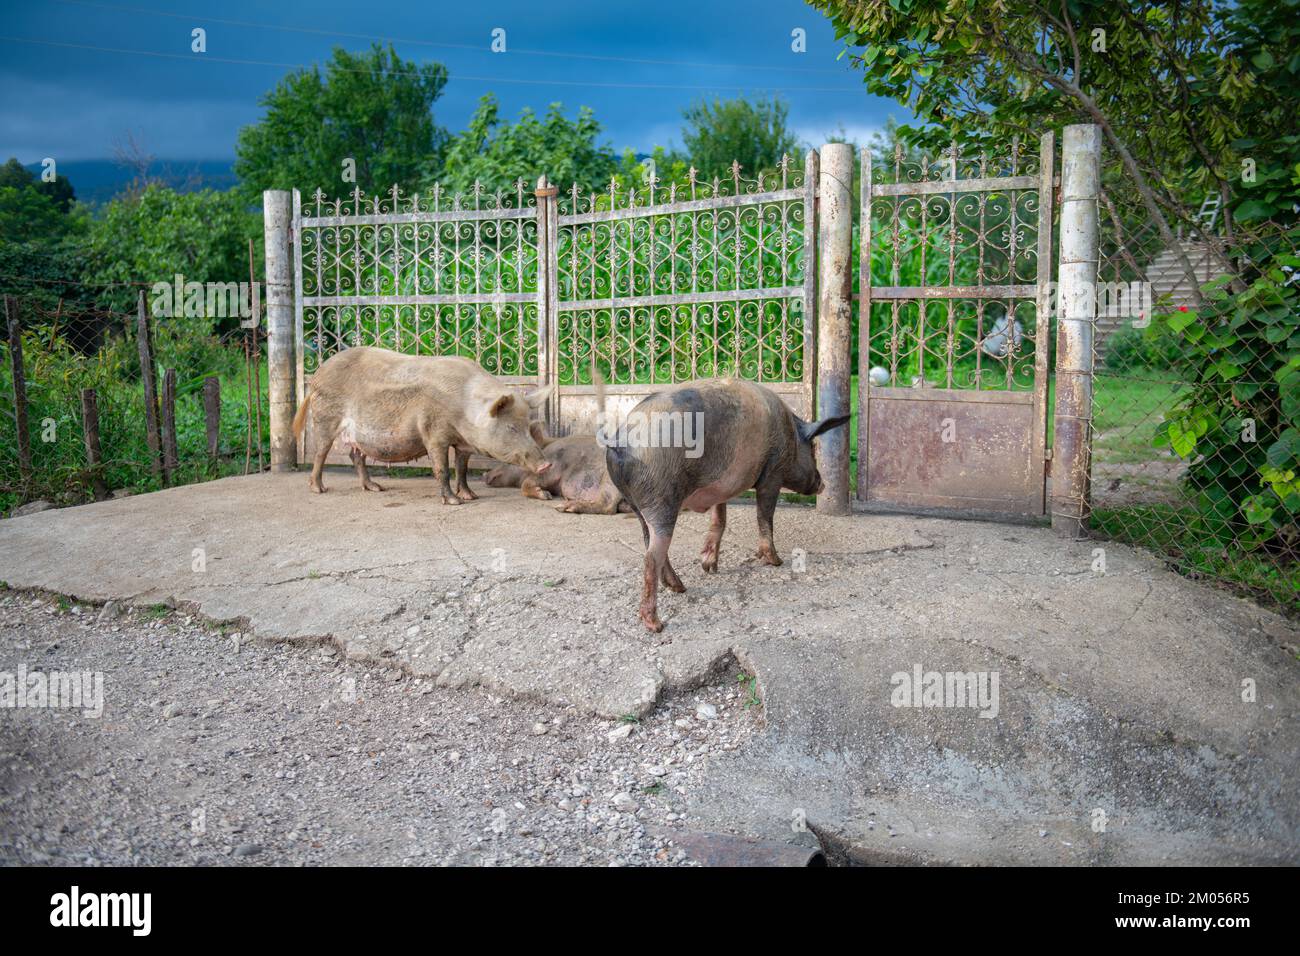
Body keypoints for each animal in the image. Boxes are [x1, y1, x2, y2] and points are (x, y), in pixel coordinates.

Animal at [291, 346, 552, 504]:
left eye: (528, 426)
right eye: (511, 428)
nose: (545, 464)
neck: (465, 409)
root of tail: (317, 375)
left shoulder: (463, 444)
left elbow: (462, 468)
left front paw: (472, 496)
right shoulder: (433, 433)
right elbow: (442, 468)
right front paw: (455, 502)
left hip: (358, 434)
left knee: (356, 456)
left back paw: (375, 488)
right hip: (325, 418)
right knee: (321, 452)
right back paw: (319, 489)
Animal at [484, 425, 632, 514]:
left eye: (510, 460)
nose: (485, 474)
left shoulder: (553, 467)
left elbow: (525, 483)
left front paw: (546, 496)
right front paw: (547, 494)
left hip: (610, 477)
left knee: (608, 505)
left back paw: (563, 507)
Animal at [603, 379, 849, 632]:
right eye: (812, 449)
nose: (822, 483)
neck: (791, 436)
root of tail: (621, 444)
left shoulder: (720, 489)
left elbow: (719, 520)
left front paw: (710, 567)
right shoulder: (773, 473)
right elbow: (765, 516)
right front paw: (775, 561)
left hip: (638, 503)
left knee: (649, 543)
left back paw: (680, 587)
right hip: (661, 498)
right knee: (651, 557)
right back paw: (656, 624)